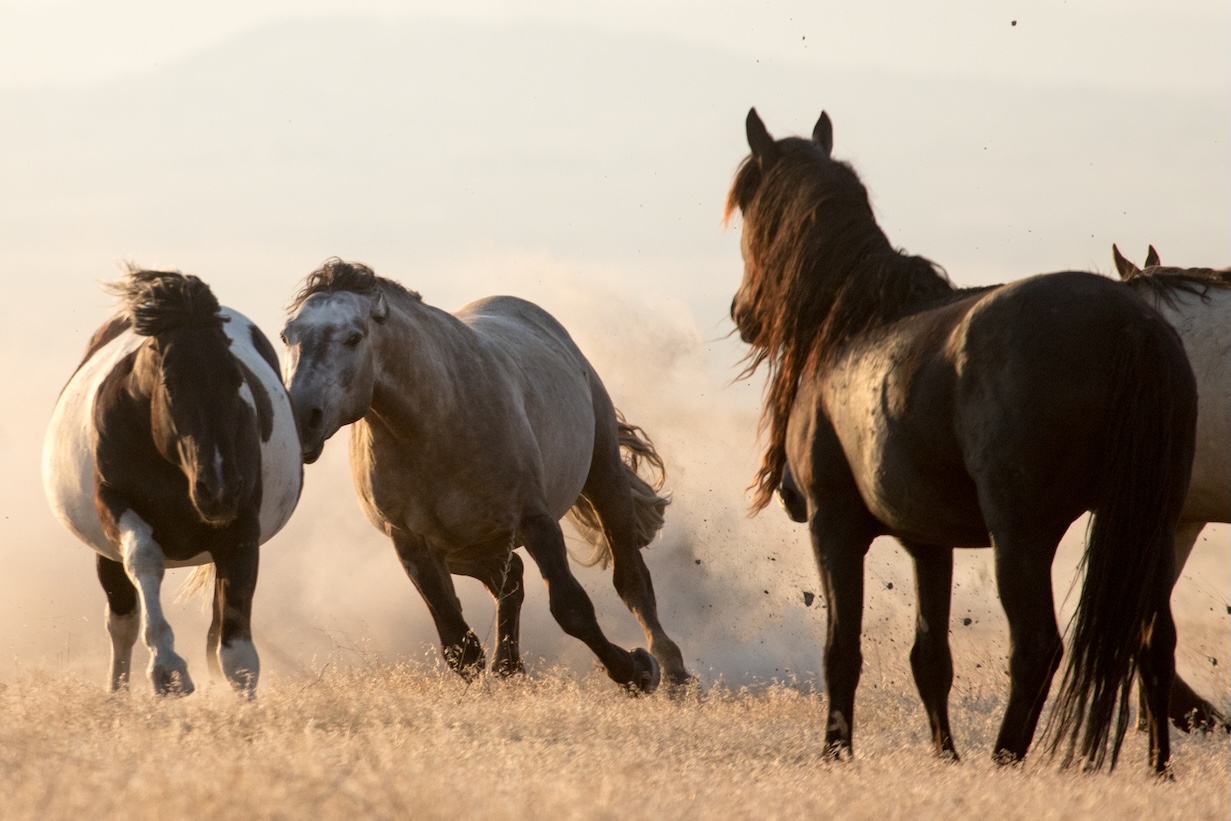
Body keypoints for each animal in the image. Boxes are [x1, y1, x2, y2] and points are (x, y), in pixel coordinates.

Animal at [42, 268, 302, 697]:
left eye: (236, 379)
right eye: (171, 383)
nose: (218, 489)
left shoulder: (240, 532)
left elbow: (238, 656)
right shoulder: (115, 506)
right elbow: (144, 558)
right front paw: (168, 669)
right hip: (104, 553)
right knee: (122, 622)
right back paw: (118, 694)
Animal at [279, 259, 689, 693]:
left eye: (354, 337)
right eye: (287, 335)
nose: (302, 419)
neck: (433, 429)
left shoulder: (536, 521)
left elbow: (571, 608)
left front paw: (635, 670)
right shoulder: (411, 545)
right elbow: (459, 646)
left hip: (602, 477)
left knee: (631, 579)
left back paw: (670, 669)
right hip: (468, 550)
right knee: (511, 582)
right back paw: (509, 668)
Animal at [725, 109, 1197, 773]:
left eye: (747, 205)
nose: (742, 313)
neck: (852, 322)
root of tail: (1133, 324)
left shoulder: (833, 525)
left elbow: (841, 650)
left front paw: (836, 755)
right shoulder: (929, 542)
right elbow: (931, 659)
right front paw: (943, 758)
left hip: (1021, 535)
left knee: (1037, 648)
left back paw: (1005, 760)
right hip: (1148, 524)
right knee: (1153, 643)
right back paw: (1158, 771)